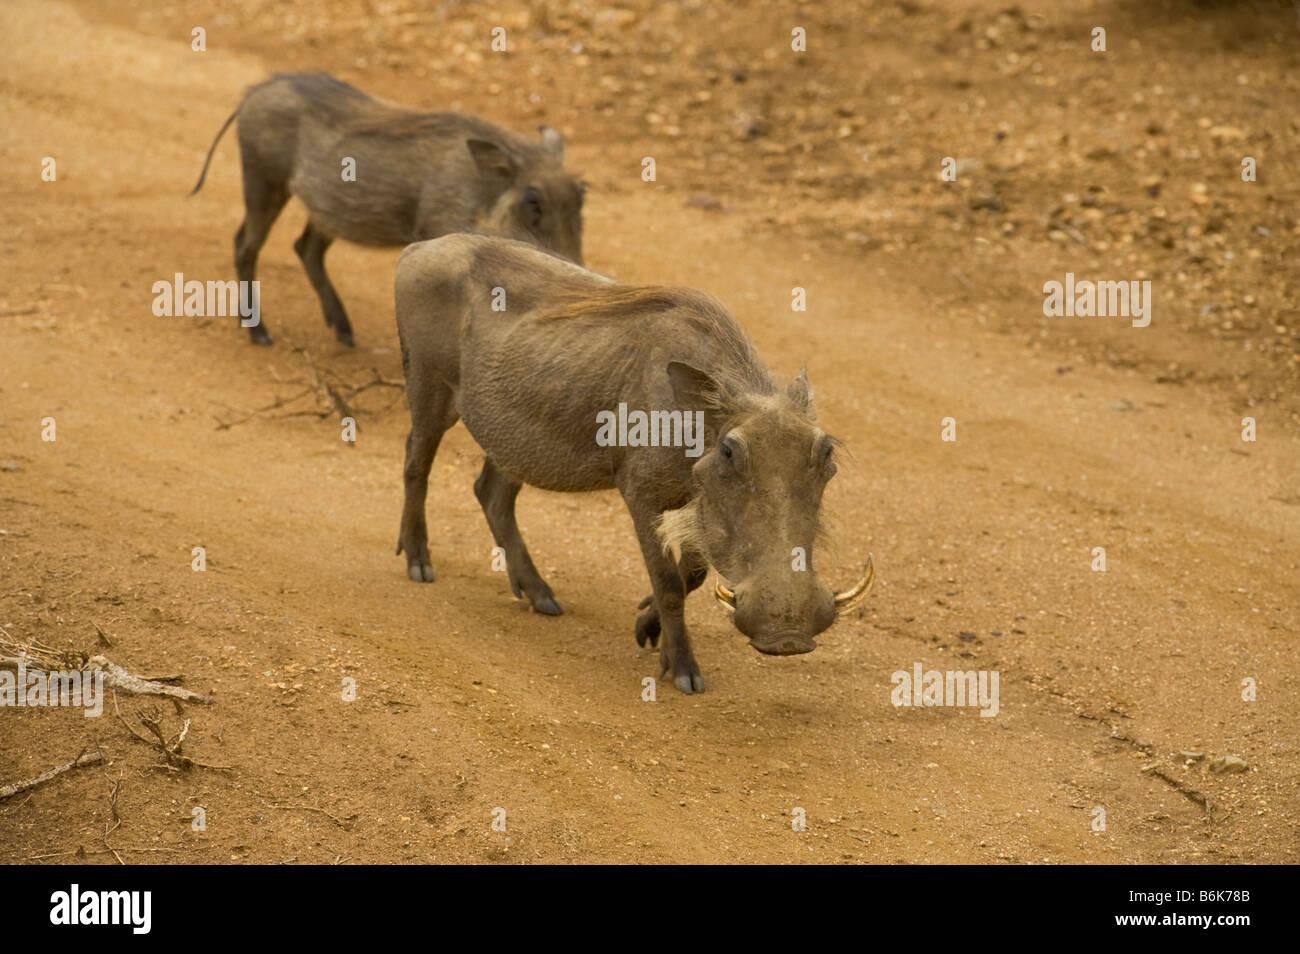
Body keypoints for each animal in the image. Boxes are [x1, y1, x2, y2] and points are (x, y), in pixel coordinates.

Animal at [190, 72, 585, 346]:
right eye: (533, 200)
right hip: (263, 181)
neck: (483, 193)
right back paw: (259, 333)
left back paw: (344, 332)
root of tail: (256, 90)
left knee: (306, 249)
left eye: (582, 192)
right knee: (246, 246)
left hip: (326, 209)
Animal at [394, 234, 874, 693]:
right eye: (729, 451)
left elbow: (693, 574)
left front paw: (646, 625)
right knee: (416, 462)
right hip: (429, 387)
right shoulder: (641, 492)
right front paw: (682, 672)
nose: (787, 637)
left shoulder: (696, 502)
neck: (693, 420)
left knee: (491, 494)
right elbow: (670, 584)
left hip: (512, 440)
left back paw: (542, 597)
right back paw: (419, 565)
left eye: (826, 454)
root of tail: (418, 248)